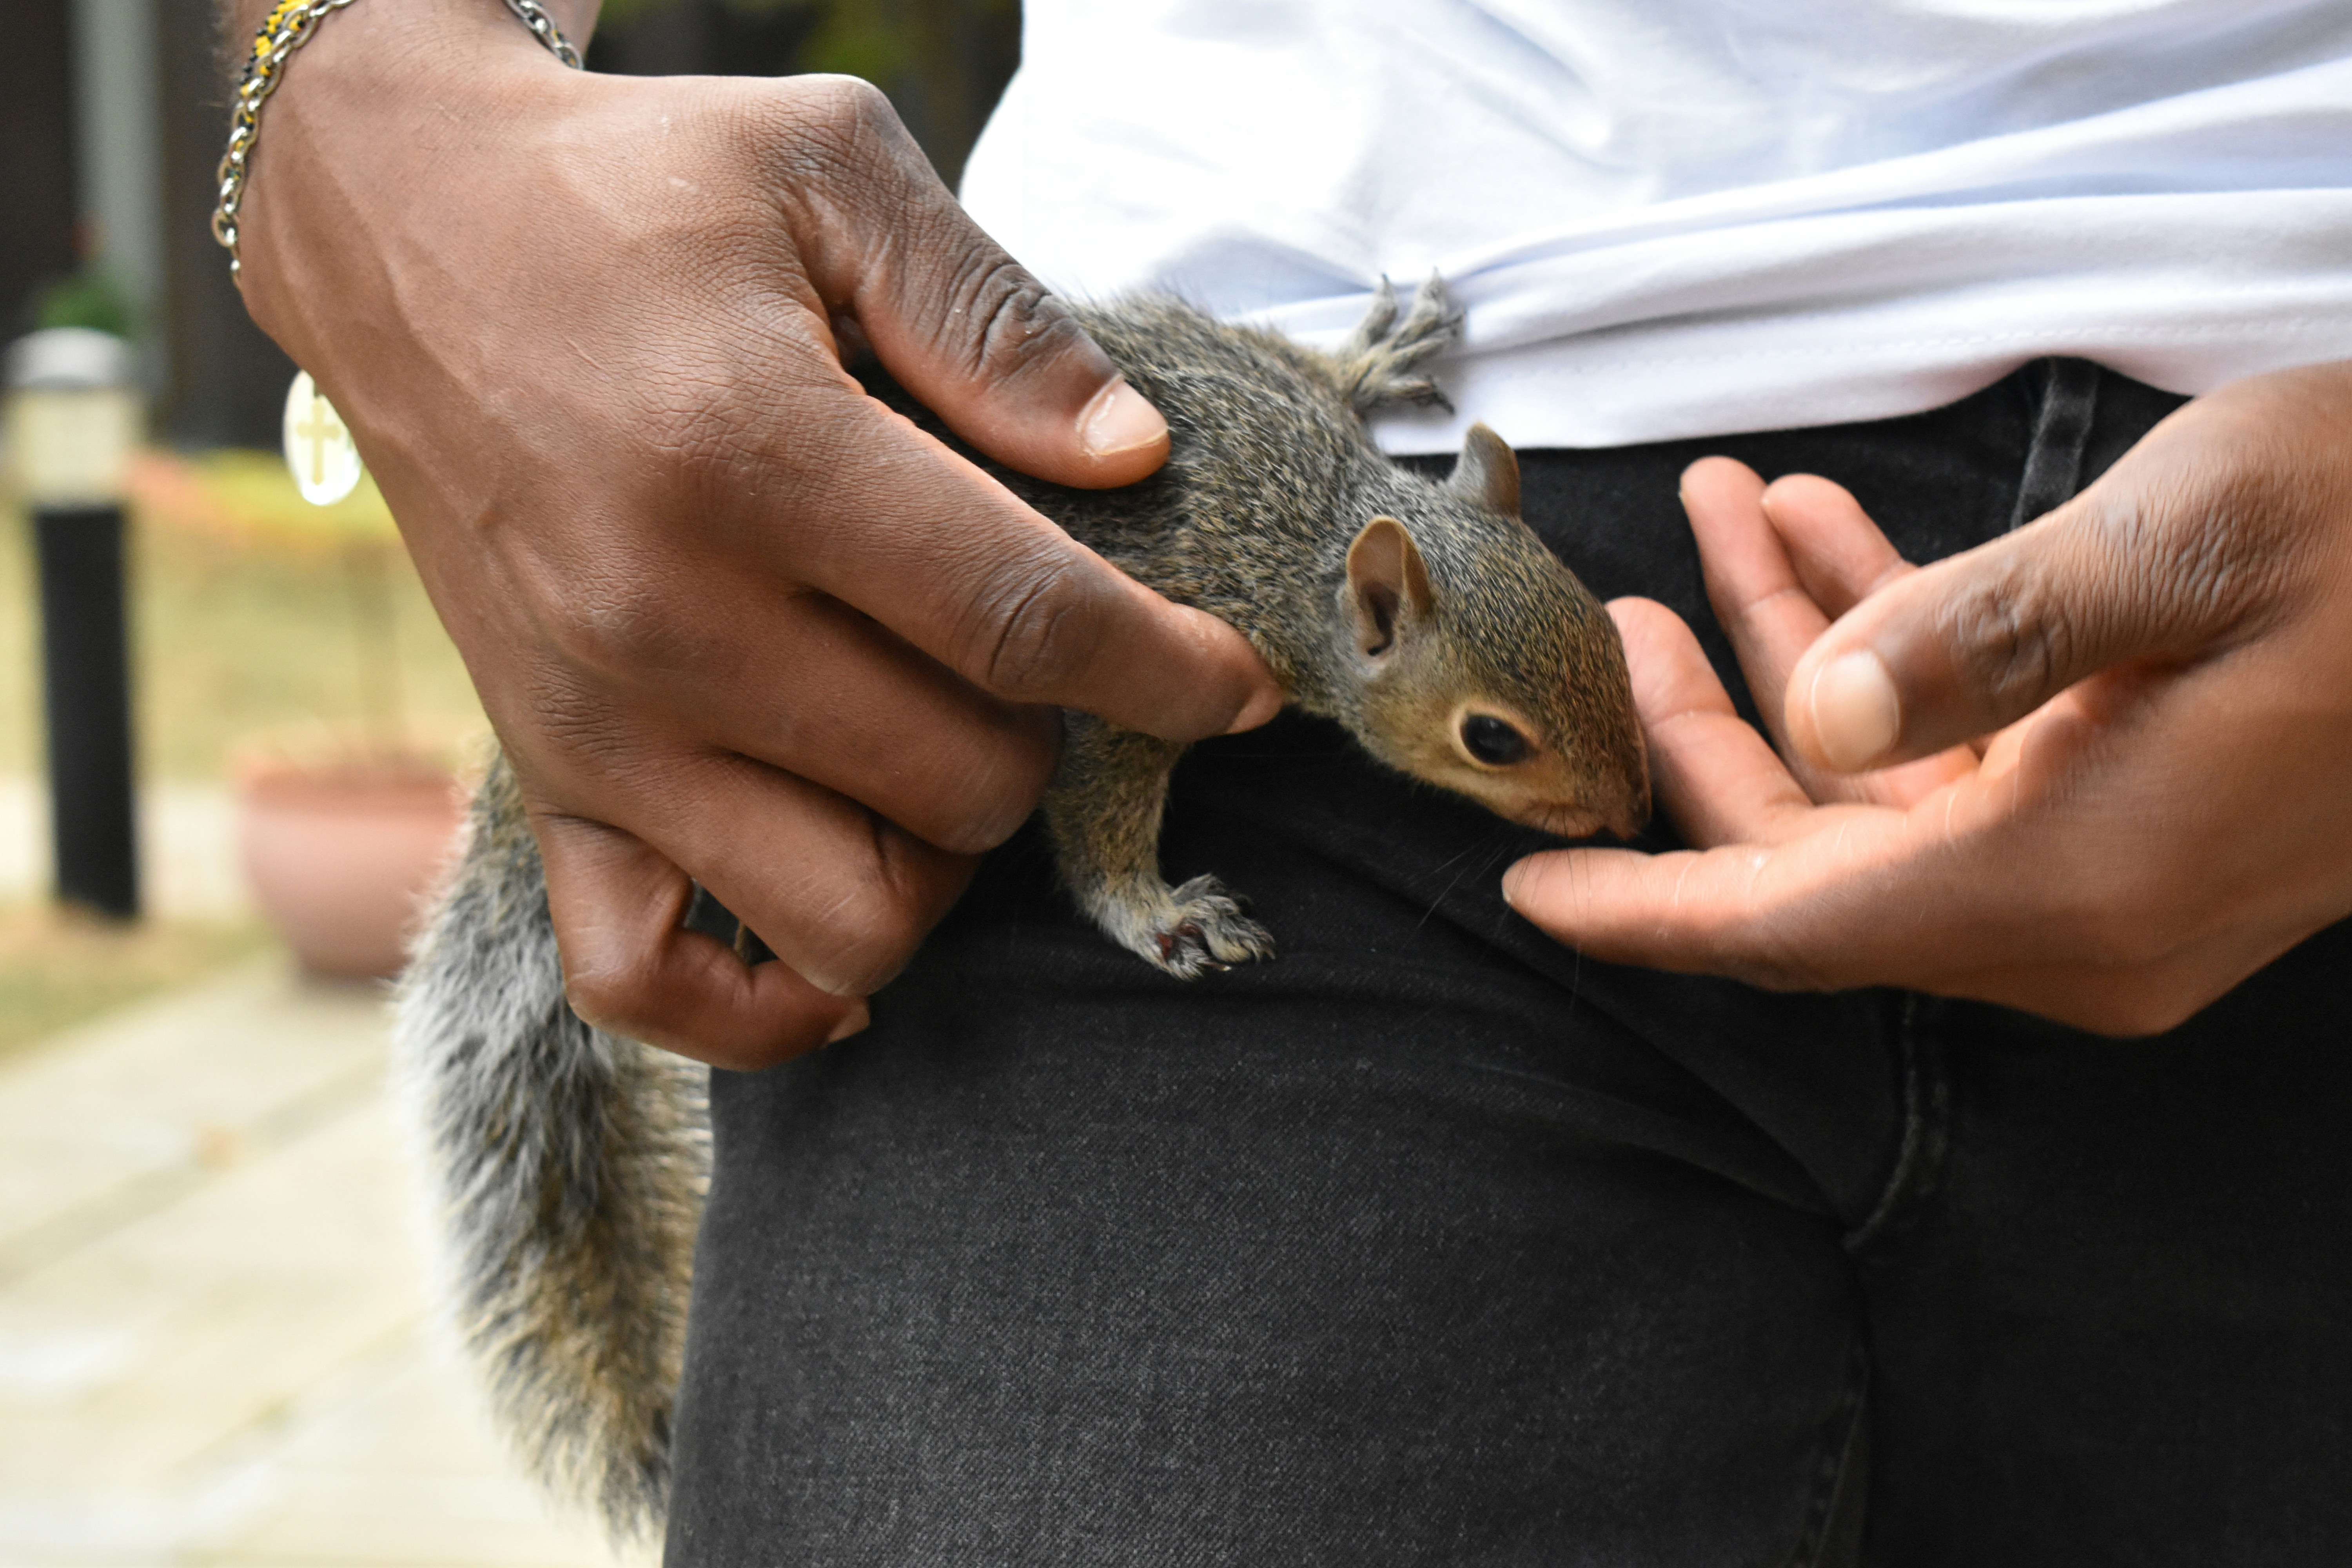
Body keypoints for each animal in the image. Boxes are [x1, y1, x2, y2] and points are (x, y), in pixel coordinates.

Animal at [394, 276, 1648, 1541]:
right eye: (1491, 737)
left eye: (1608, 635)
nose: (1636, 813)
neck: (1297, 515)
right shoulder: (1147, 669)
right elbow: (1099, 810)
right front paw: (1158, 913)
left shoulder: (1256, 378)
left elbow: (1298, 358)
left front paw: (1375, 350)